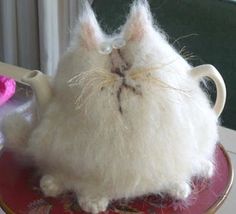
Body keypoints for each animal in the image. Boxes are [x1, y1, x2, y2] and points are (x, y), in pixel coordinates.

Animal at [1, 0, 219, 213]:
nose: (119, 69)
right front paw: (93, 204)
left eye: (126, 57)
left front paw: (180, 186)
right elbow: (88, 189)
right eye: (106, 57)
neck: (126, 127)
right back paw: (51, 185)